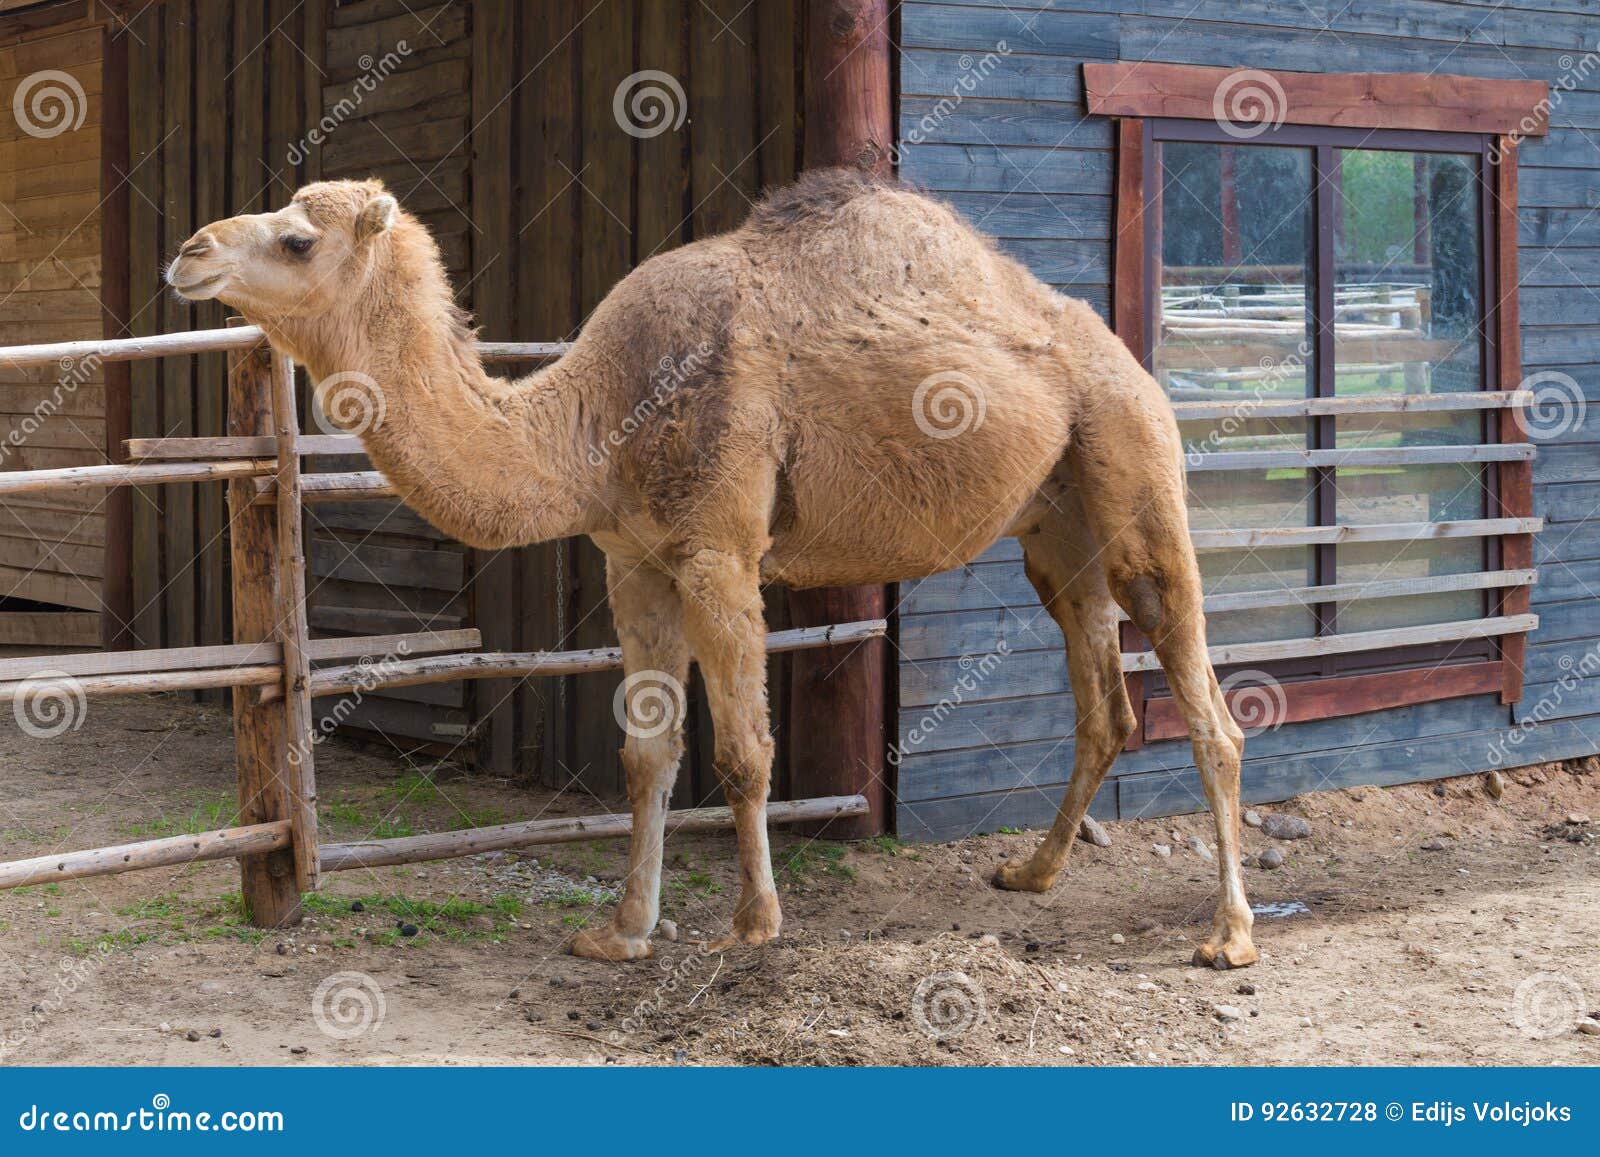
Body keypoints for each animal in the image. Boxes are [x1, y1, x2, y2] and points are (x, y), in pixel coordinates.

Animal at [165, 170, 1257, 969]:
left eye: (298, 239)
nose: (189, 249)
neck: (597, 419)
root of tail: (1126, 355)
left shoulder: (718, 549)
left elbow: (743, 751)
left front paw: (753, 922)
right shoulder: (634, 560)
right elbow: (646, 752)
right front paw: (621, 930)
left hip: (1132, 465)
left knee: (1208, 702)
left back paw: (1229, 933)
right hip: (1055, 528)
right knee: (1104, 697)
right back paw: (1031, 874)